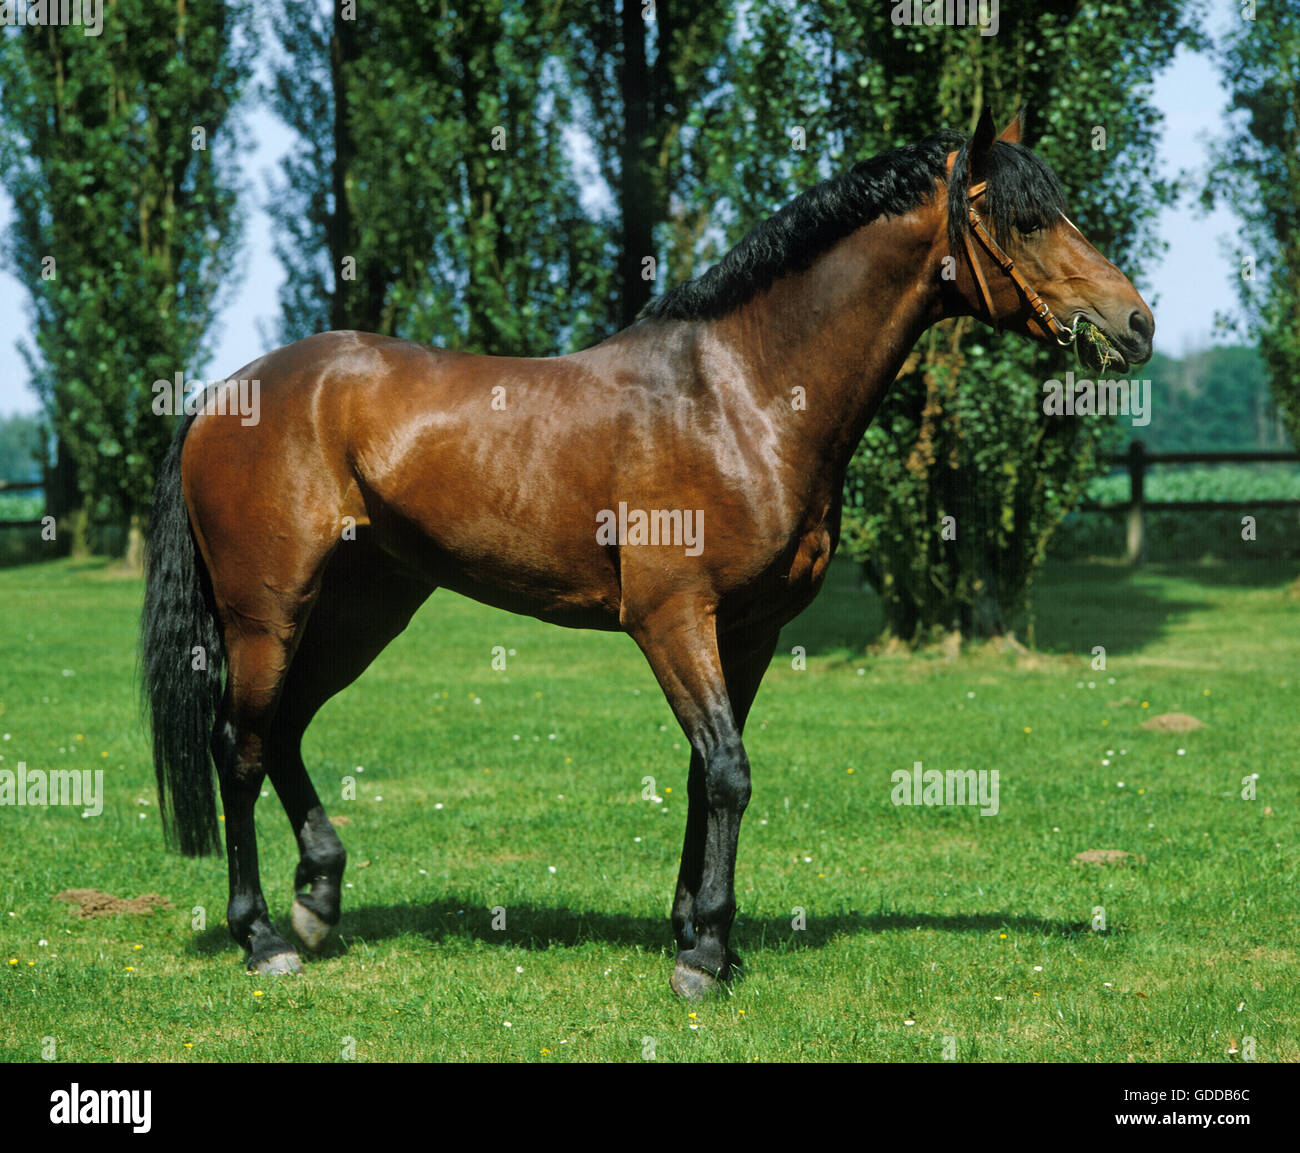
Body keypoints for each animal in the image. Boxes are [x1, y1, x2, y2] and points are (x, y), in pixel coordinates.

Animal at [141, 108, 1153, 999]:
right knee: (240, 744)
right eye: (1025, 220)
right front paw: (702, 957)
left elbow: (709, 773)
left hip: (364, 607)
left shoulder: (746, 631)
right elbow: (731, 772)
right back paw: (263, 937)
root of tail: (227, 390)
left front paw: (703, 932)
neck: (739, 395)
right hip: (267, 611)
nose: (1136, 322)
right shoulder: (673, 621)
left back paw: (319, 898)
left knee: (284, 729)